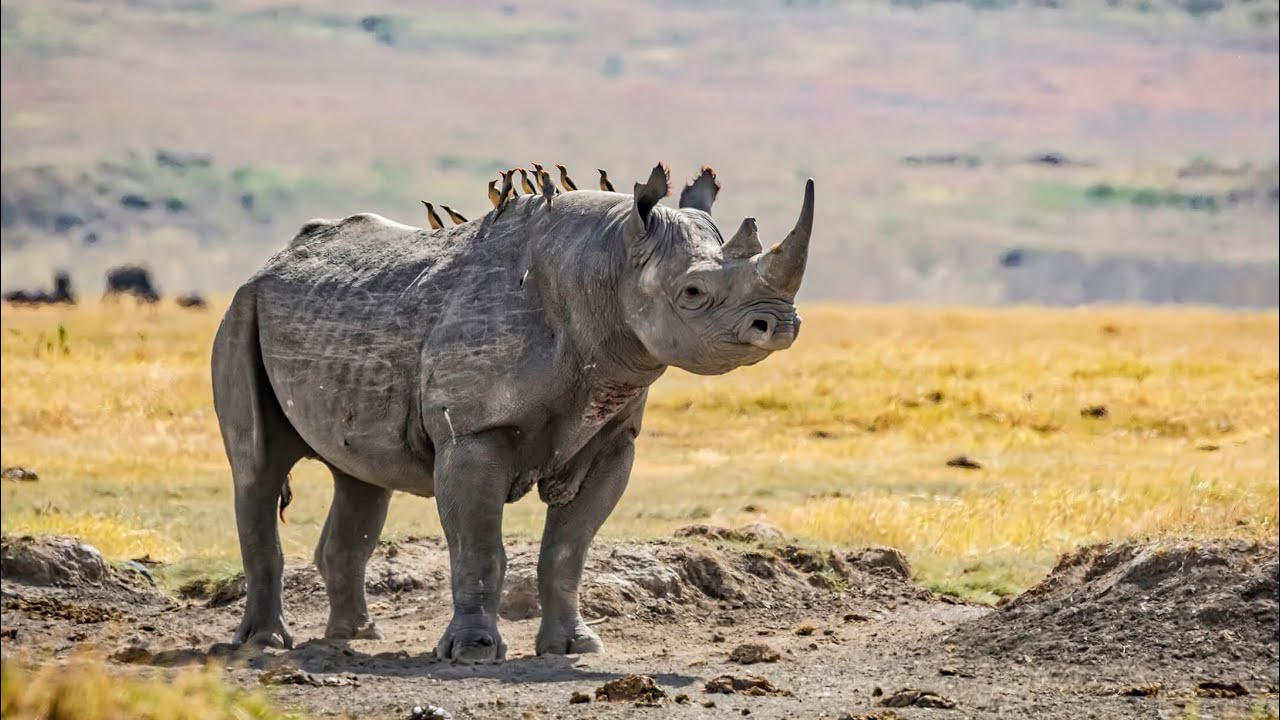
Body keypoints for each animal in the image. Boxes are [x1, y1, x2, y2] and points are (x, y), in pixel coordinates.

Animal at [211, 163, 815, 662]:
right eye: (692, 293)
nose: (780, 324)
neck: (608, 266)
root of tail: (271, 262)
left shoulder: (612, 437)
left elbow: (568, 549)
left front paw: (573, 647)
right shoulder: (474, 433)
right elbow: (479, 545)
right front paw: (473, 654)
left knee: (361, 478)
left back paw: (356, 637)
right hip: (240, 311)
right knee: (257, 471)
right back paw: (264, 644)